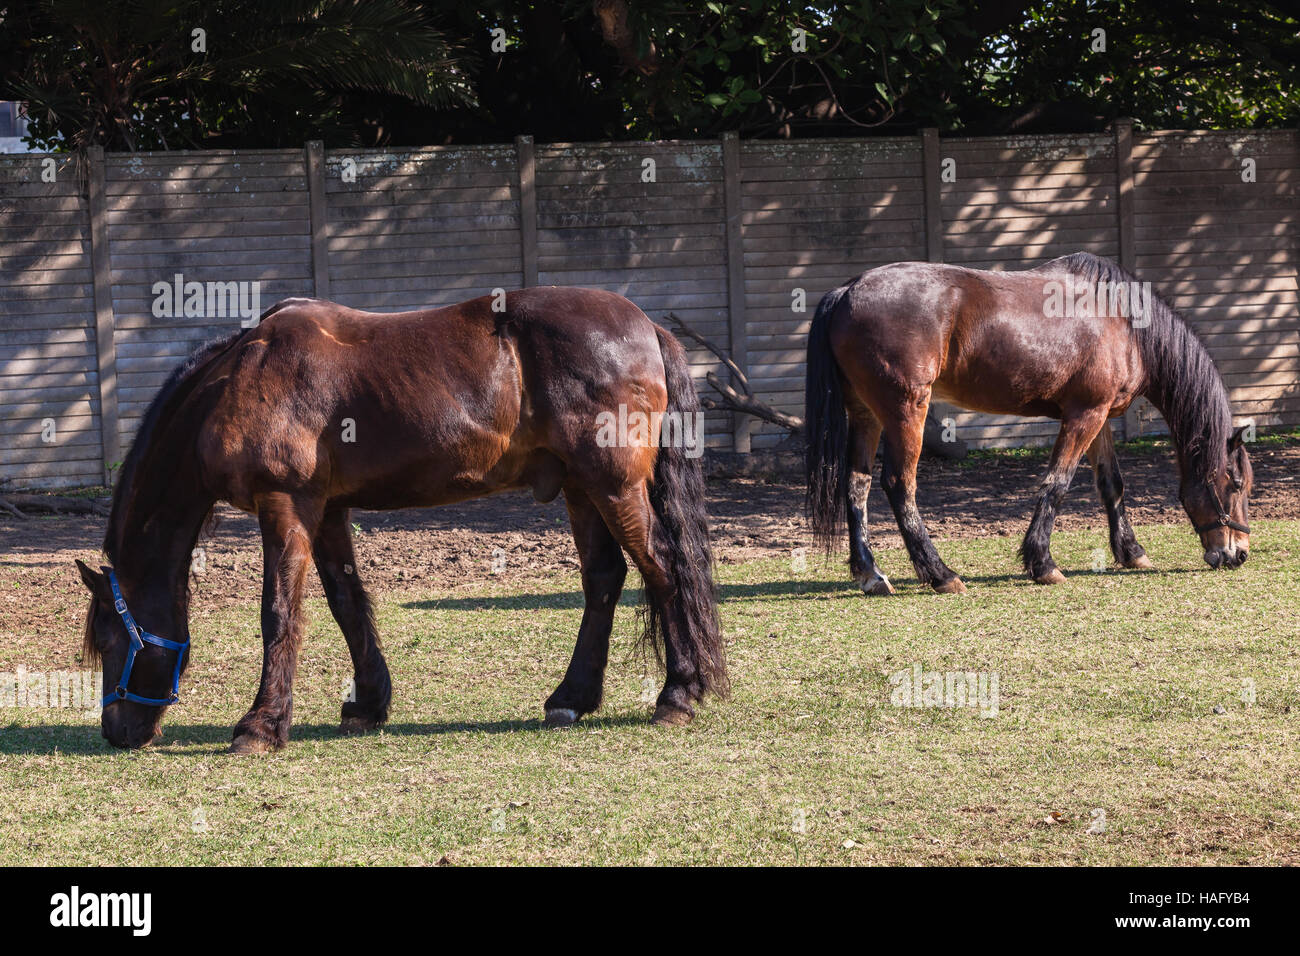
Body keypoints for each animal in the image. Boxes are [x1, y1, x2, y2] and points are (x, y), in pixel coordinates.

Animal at [75, 287, 728, 751]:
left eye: (108, 638)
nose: (116, 731)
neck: (242, 378)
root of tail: (647, 327)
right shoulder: (326, 509)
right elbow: (345, 602)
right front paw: (367, 703)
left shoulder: (285, 502)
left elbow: (279, 610)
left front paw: (260, 726)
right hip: (579, 487)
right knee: (604, 579)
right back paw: (573, 696)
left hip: (612, 486)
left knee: (664, 570)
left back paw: (678, 694)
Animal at [805, 252, 1252, 595]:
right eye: (1236, 483)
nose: (1240, 553)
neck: (1123, 323)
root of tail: (846, 291)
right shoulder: (1084, 415)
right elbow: (1057, 483)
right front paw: (1043, 563)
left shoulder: (1100, 416)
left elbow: (1112, 484)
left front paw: (1131, 552)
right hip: (905, 409)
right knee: (900, 485)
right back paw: (941, 574)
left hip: (866, 414)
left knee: (857, 485)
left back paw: (871, 574)